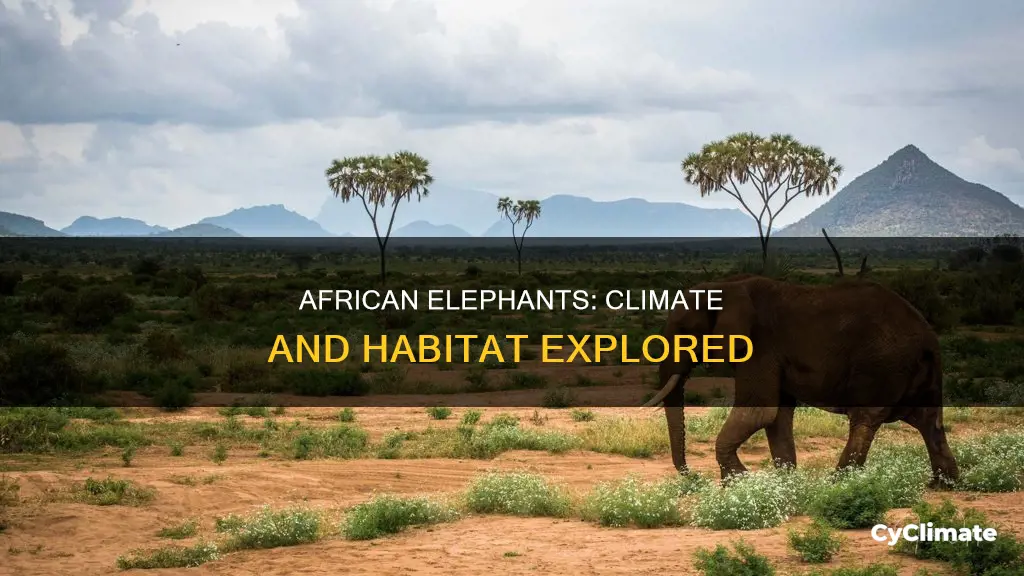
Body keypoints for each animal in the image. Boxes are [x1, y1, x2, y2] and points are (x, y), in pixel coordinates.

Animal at [643, 274, 960, 488]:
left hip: (882, 364)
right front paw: (784, 482)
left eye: (684, 330)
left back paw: (837, 485)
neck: (726, 286)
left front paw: (739, 482)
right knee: (929, 422)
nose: (692, 475)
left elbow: (758, 411)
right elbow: (777, 416)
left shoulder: (760, 347)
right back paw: (943, 484)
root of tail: (929, 337)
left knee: (865, 419)